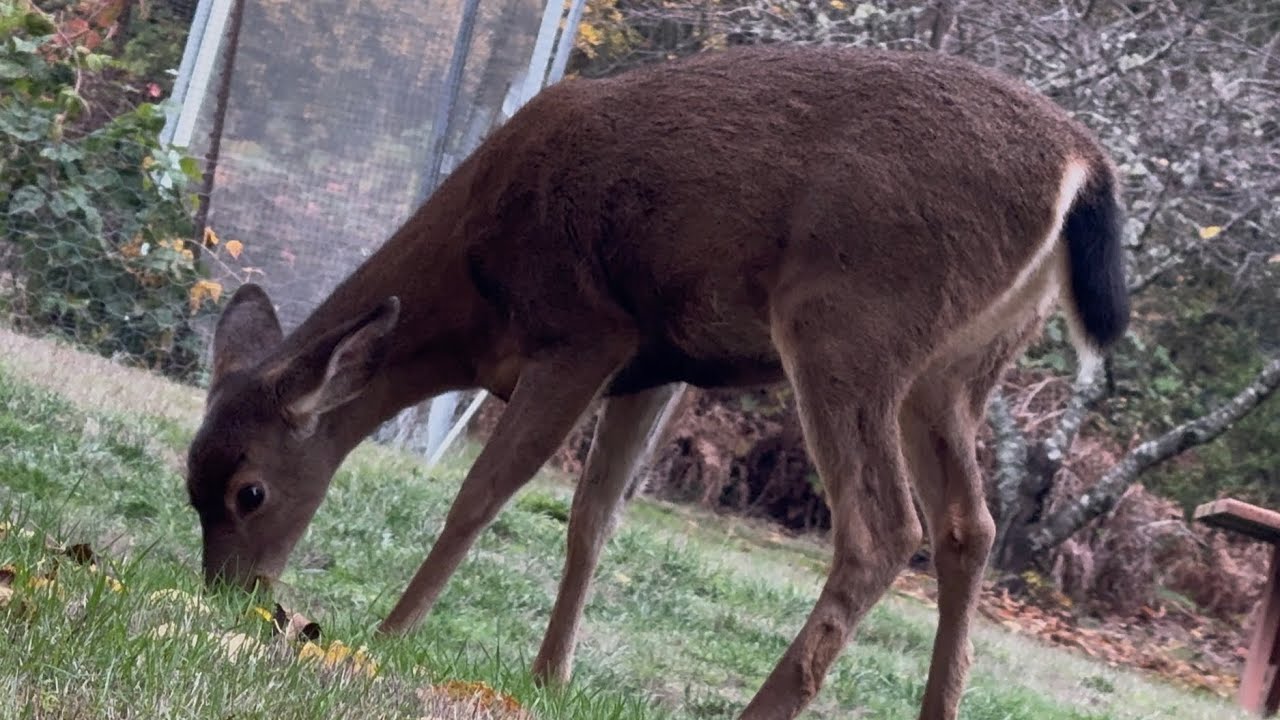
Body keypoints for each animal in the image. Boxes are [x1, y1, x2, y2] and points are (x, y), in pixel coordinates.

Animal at [185, 44, 1128, 720]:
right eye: (191, 484)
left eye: (249, 492)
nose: (229, 595)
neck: (473, 293)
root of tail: (1084, 163)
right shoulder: (656, 364)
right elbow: (593, 520)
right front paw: (551, 675)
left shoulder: (584, 328)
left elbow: (482, 494)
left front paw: (390, 631)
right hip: (960, 368)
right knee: (970, 526)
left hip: (851, 317)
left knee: (885, 528)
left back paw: (763, 710)